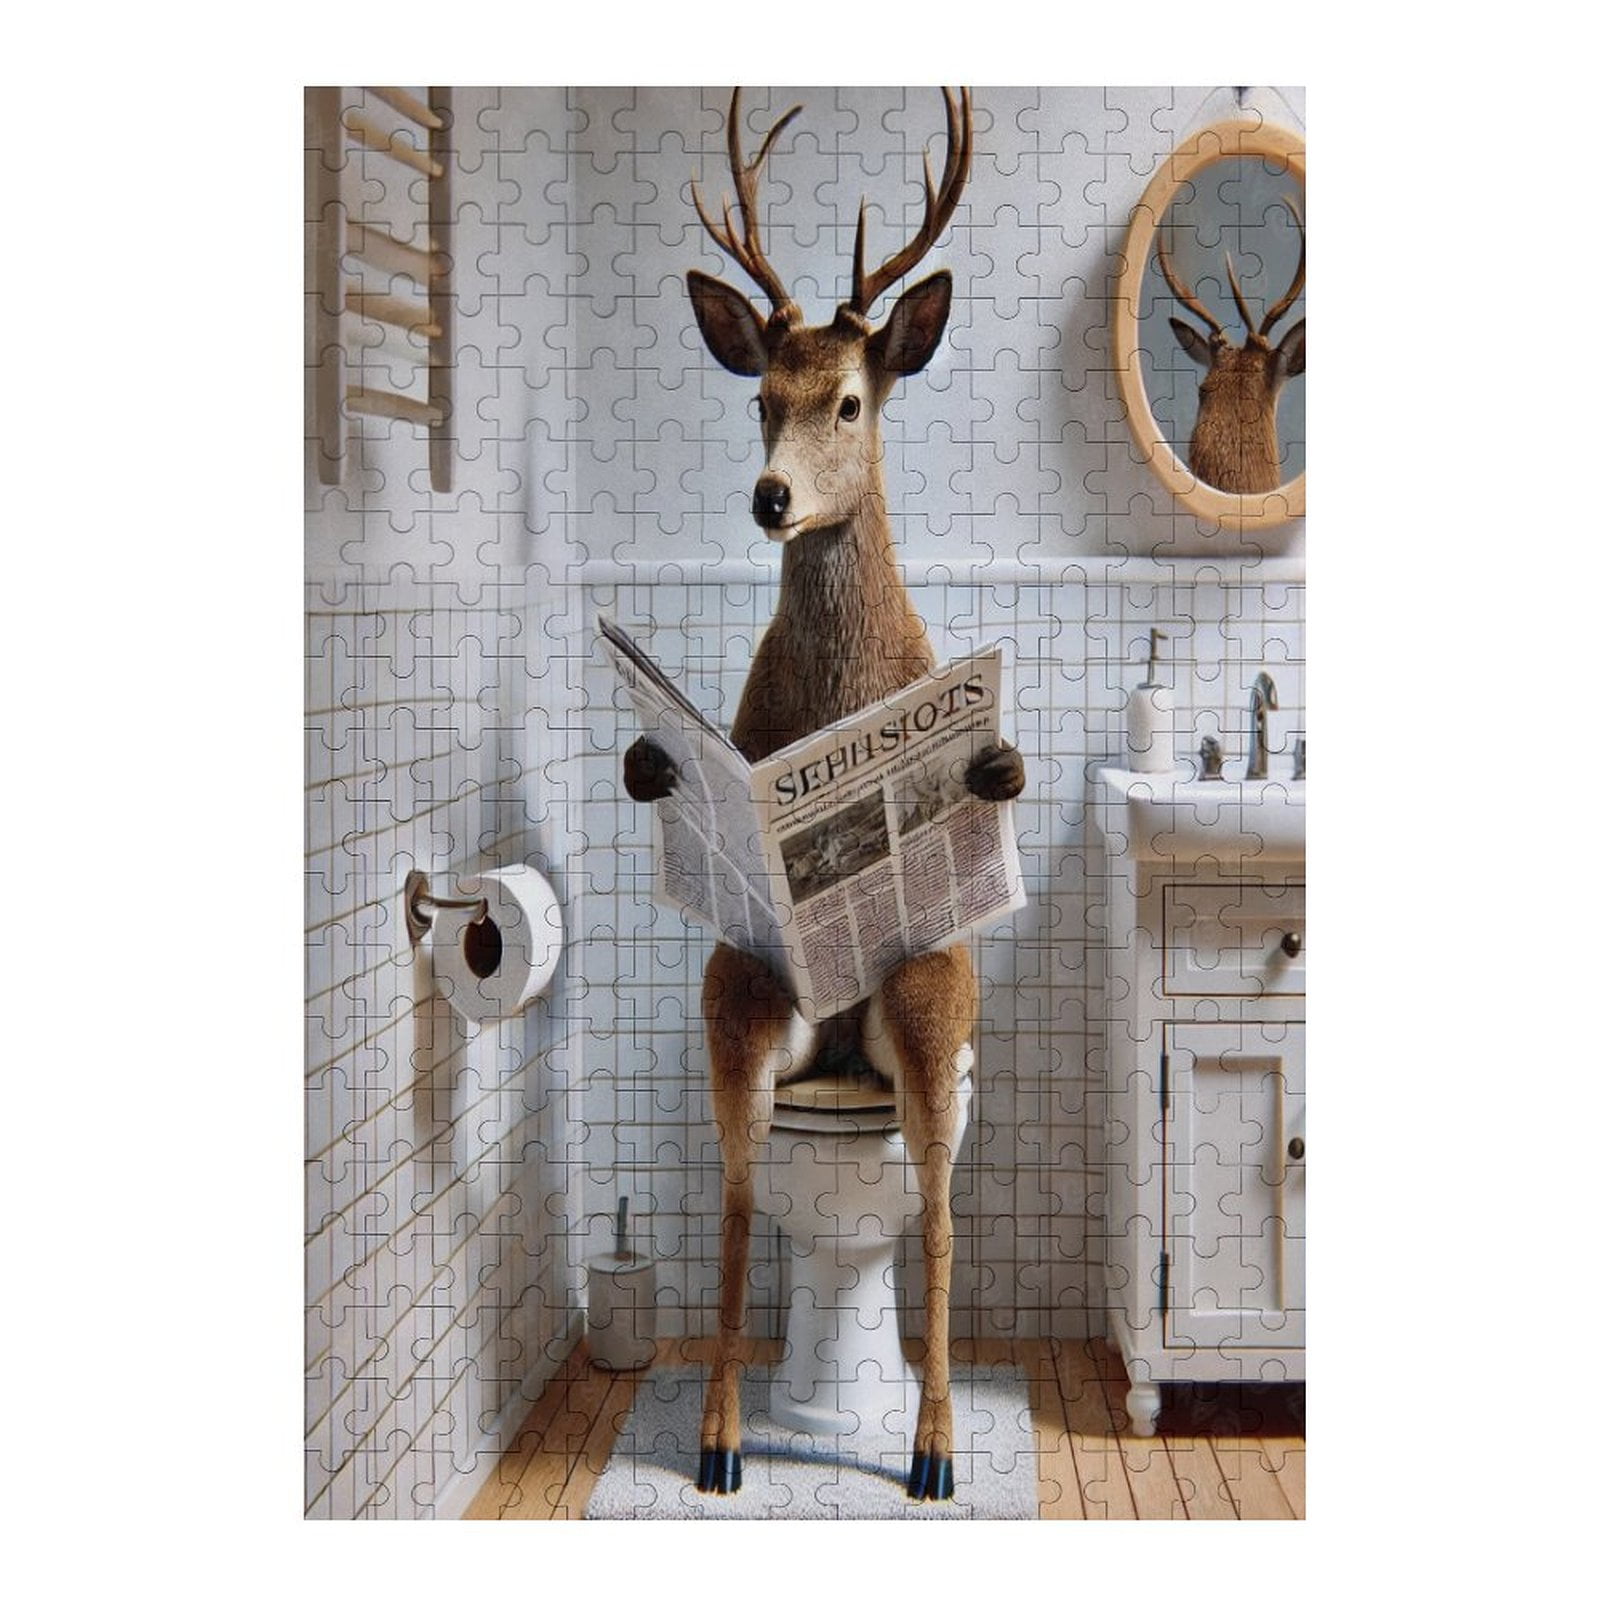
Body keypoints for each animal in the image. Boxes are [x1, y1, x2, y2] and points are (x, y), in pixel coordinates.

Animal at [621, 86, 1023, 1502]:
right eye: (760, 398)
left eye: (850, 400)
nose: (770, 496)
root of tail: (845, 1037)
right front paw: (650, 763)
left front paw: (996, 768)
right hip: (746, 984)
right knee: (744, 1191)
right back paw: (724, 1436)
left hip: (931, 987)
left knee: (944, 1205)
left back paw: (934, 1447)